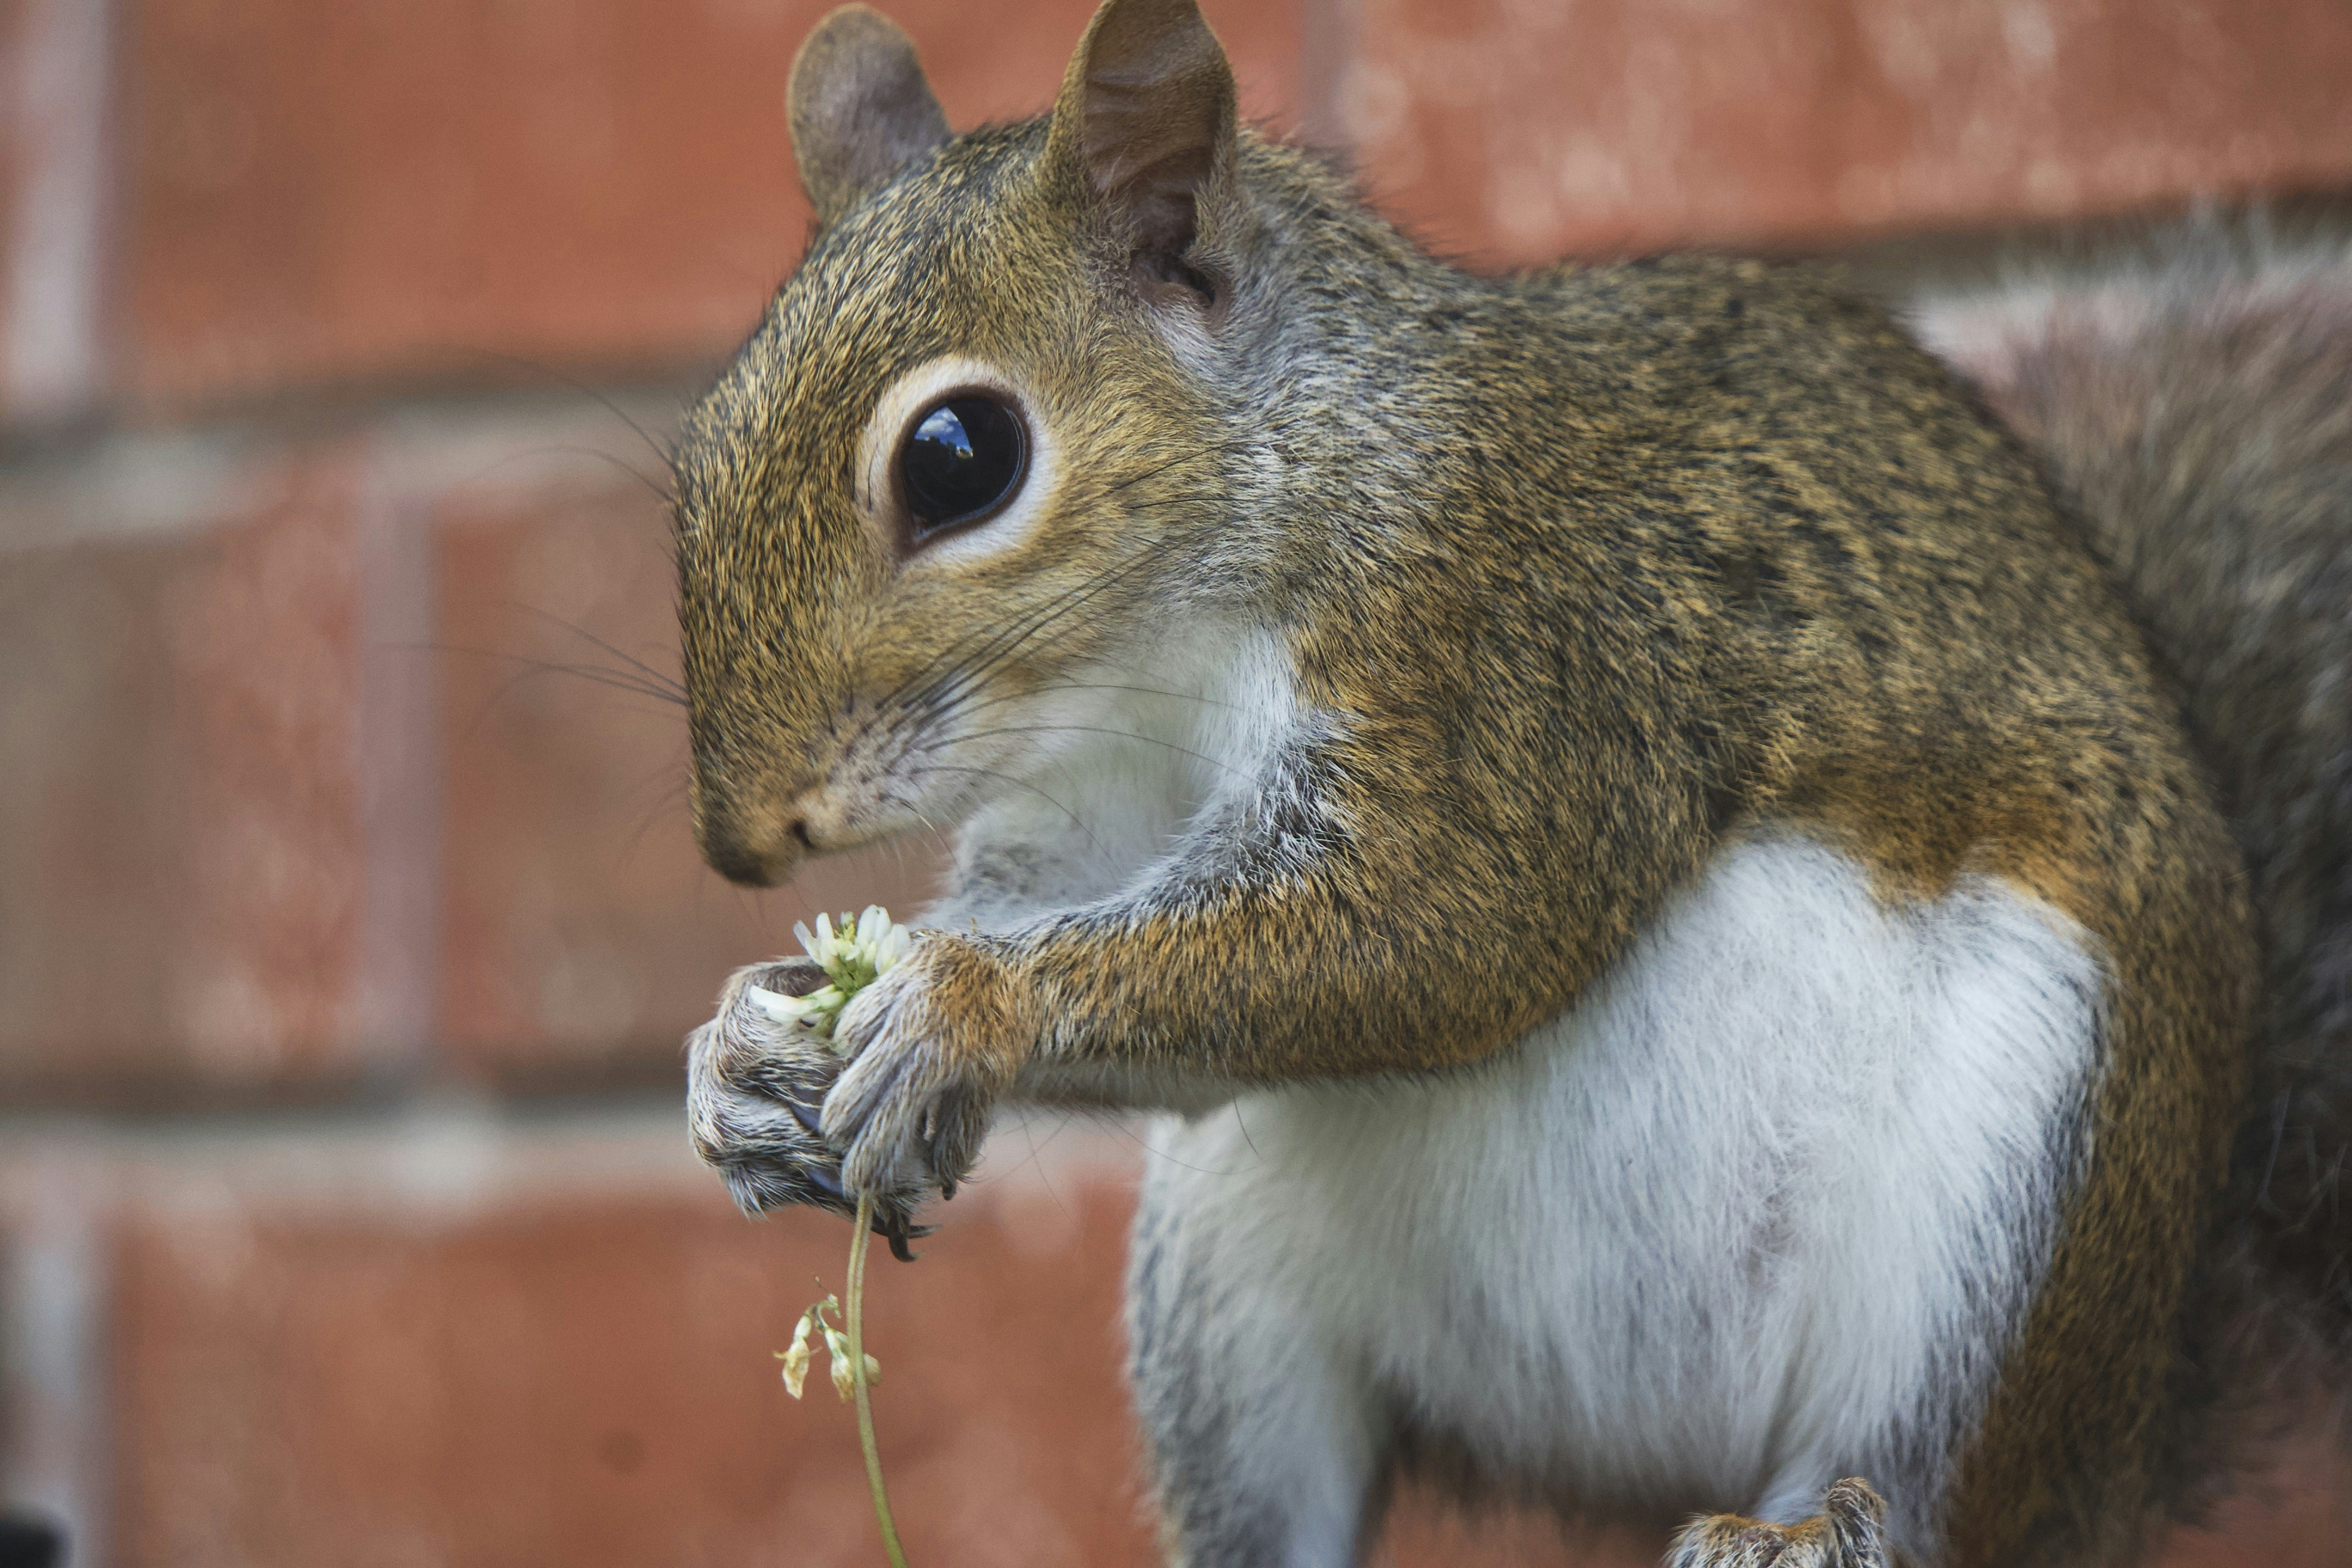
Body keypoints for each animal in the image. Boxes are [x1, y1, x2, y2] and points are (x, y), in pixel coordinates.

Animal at [673, 2, 2348, 1563]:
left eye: (960, 456)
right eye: (701, 437)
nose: (747, 844)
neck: (1155, 658)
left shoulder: (1515, 650)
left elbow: (1440, 925)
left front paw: (961, 1008)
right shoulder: (1094, 808)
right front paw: (748, 1048)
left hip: (2014, 1214)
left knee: (1929, 1485)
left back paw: (1810, 1526)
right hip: (1226, 1294)